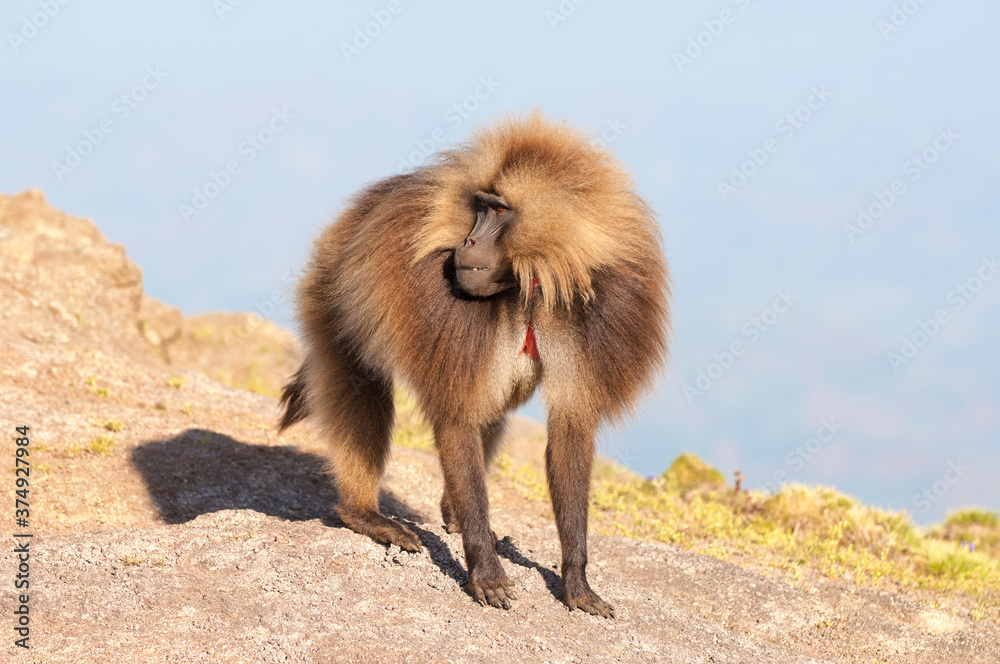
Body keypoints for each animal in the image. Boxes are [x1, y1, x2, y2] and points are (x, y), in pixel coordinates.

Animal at [279, 112, 670, 618]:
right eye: (480, 206)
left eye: (500, 211)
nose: (466, 241)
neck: (529, 285)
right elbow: (457, 420)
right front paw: (485, 571)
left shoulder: (599, 309)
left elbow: (570, 431)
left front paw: (576, 582)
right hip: (329, 285)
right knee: (361, 381)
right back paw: (365, 514)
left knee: (497, 406)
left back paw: (450, 512)